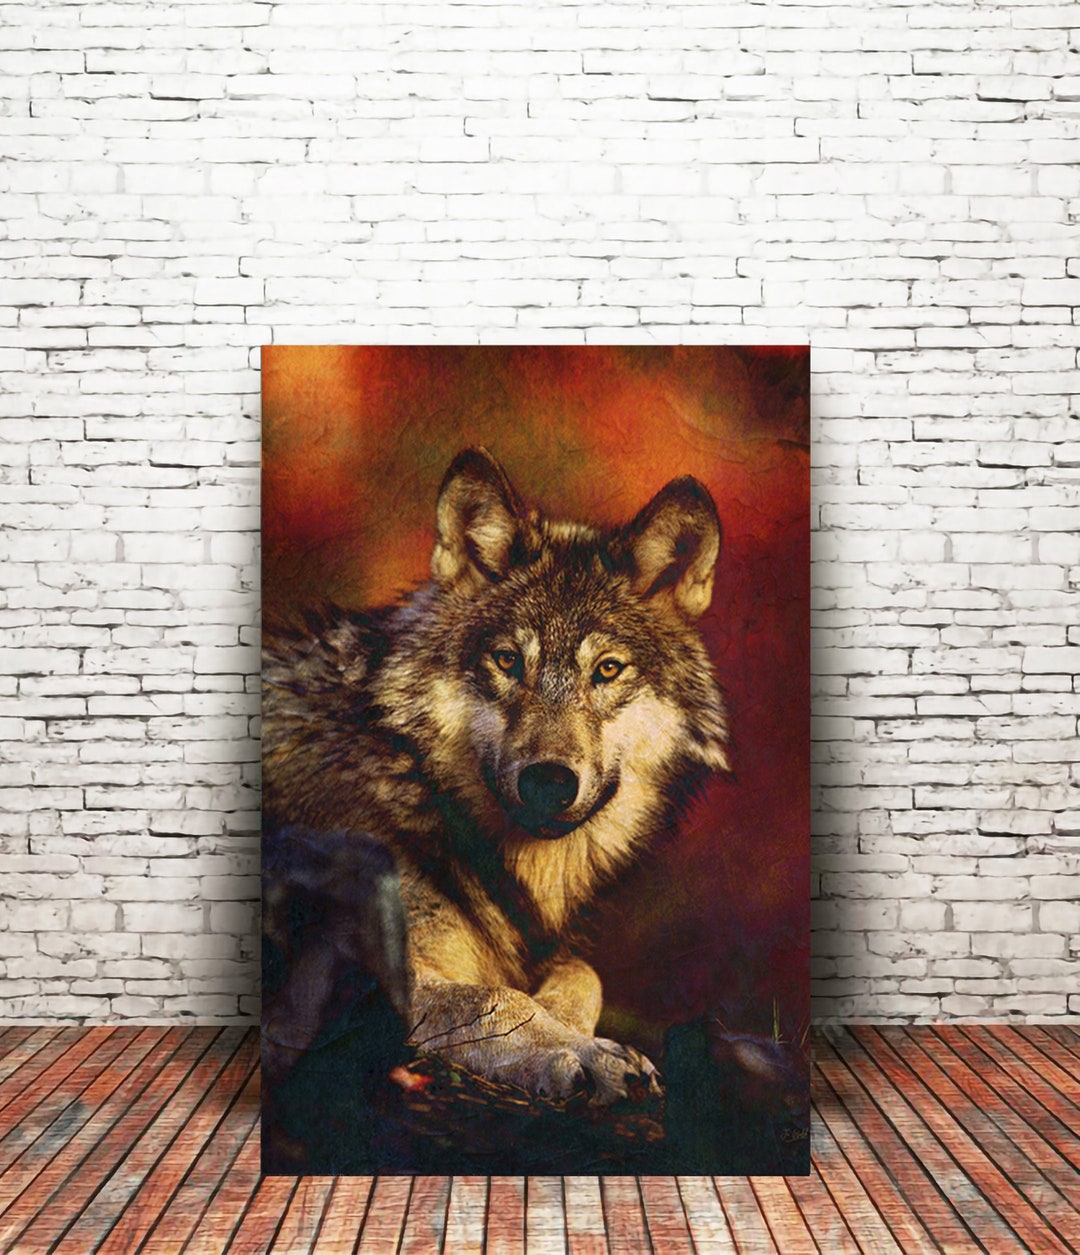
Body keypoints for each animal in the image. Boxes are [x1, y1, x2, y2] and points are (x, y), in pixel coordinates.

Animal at [262, 447, 729, 1105]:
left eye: (607, 670)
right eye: (508, 661)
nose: (549, 781)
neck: (417, 784)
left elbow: (583, 973)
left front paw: (575, 1031)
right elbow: (495, 998)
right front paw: (583, 1054)